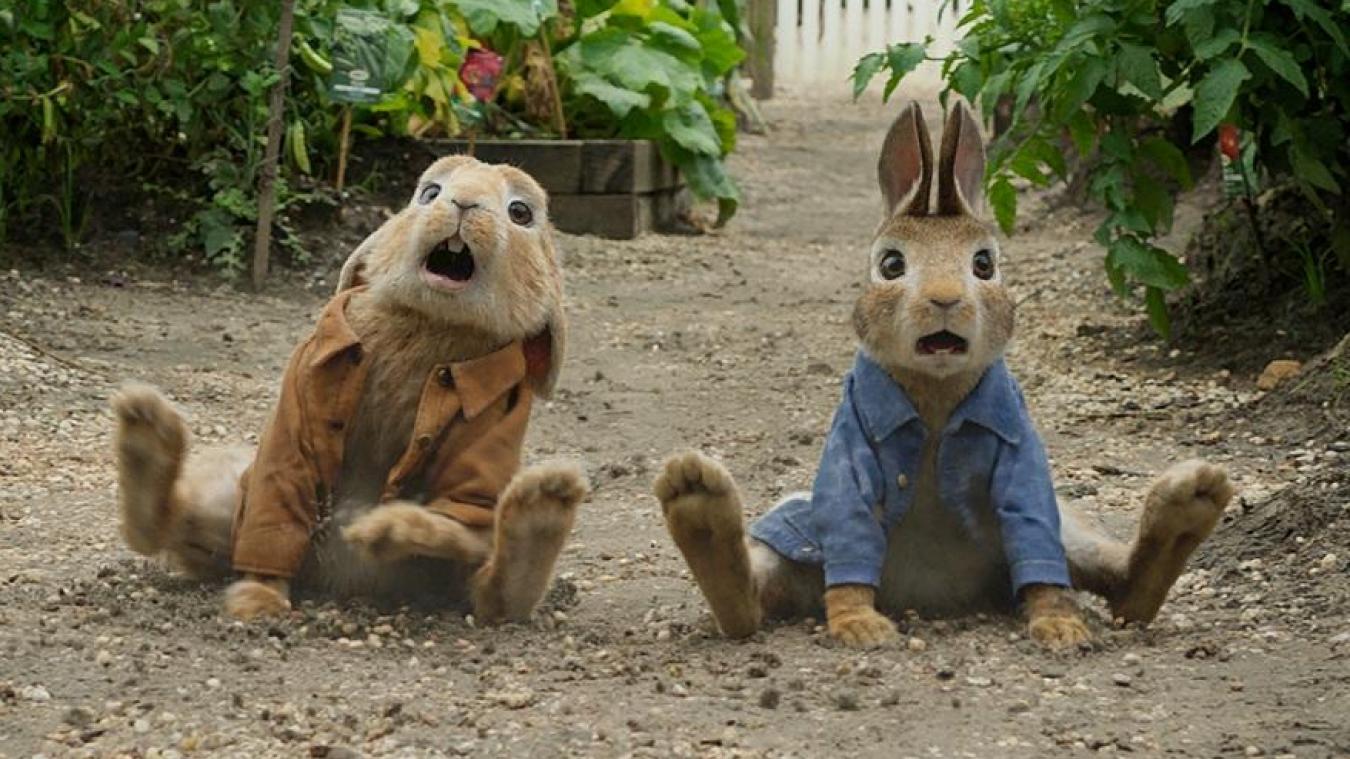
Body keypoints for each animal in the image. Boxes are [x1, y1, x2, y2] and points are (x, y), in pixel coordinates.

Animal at [111, 155, 588, 623]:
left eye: (521, 213)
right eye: (429, 192)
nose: (464, 202)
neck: (434, 322)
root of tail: (334, 579)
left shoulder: (494, 424)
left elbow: (460, 505)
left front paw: (386, 529)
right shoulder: (295, 416)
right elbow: (279, 501)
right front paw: (258, 601)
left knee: (494, 596)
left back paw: (542, 503)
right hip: (234, 503)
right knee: (172, 527)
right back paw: (146, 426)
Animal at [653, 101, 1235, 648]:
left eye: (984, 265)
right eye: (891, 265)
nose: (945, 299)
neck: (934, 394)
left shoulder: (1022, 459)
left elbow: (1034, 532)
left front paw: (1060, 627)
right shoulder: (851, 448)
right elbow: (850, 524)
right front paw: (859, 626)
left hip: (1067, 531)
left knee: (1117, 583)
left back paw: (1192, 501)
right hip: (794, 539)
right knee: (756, 597)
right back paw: (697, 500)